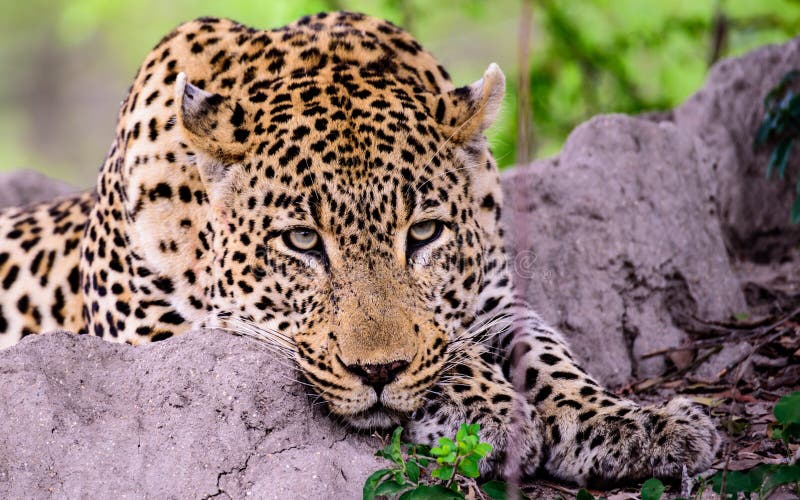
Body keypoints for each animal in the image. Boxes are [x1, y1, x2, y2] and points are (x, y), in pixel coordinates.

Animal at [0, 12, 719, 486]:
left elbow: (545, 353)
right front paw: (489, 410)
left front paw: (636, 425)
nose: (378, 374)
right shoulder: (149, 336)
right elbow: (451, 354)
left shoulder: (495, 301)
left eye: (423, 233)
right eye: (301, 242)